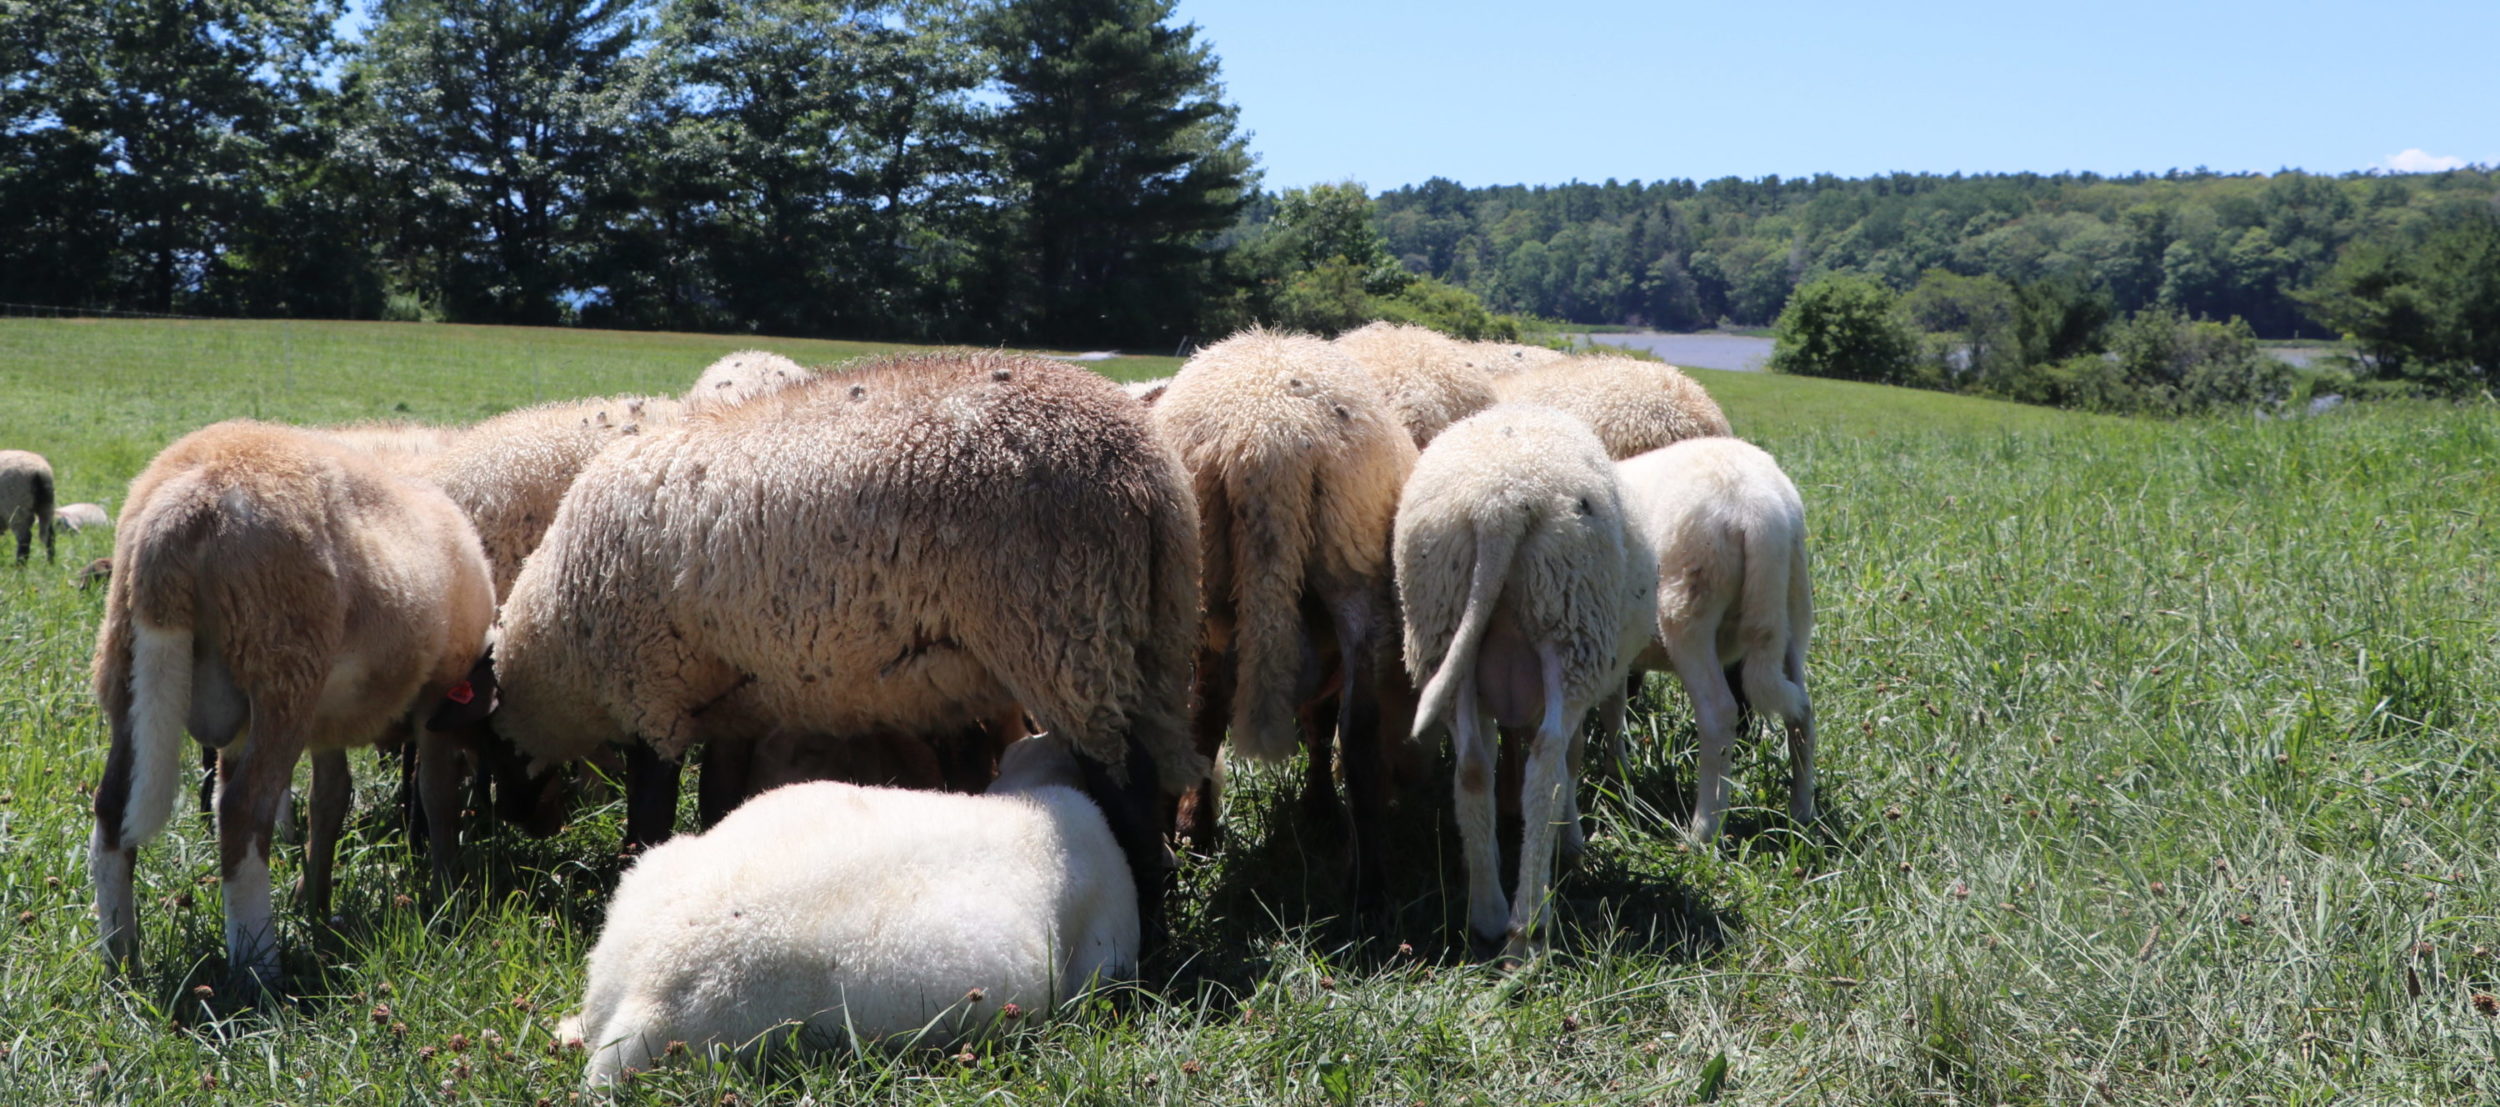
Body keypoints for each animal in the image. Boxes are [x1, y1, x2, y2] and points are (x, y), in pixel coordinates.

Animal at [86, 421, 494, 1000]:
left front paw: (316, 903)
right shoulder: (439, 687)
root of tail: (182, 508)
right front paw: (446, 891)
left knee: (113, 810)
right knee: (241, 812)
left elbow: (330, 801)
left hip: (127, 663)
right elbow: (436, 795)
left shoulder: (326, 724)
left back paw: (121, 960)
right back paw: (260, 971)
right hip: (283, 668)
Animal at [1150, 328, 1416, 908]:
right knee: (1357, 734)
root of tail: (1266, 443)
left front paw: (1195, 826)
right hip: (1351, 563)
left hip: (1195, 584)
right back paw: (1369, 893)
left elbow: (1211, 716)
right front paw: (1317, 809)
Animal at [1396, 404, 1653, 958]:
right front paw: (1572, 841)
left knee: (1473, 767)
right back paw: (1529, 924)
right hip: (1570, 621)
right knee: (1547, 766)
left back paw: (1488, 912)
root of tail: (1500, 502)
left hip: (1442, 619)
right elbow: (1571, 759)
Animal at [1606, 437, 1814, 842]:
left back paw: (1703, 831)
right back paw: (1801, 813)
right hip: (1791, 612)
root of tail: (1758, 508)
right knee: (1803, 714)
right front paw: (1617, 775)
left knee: (1718, 713)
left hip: (1688, 608)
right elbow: (1614, 709)